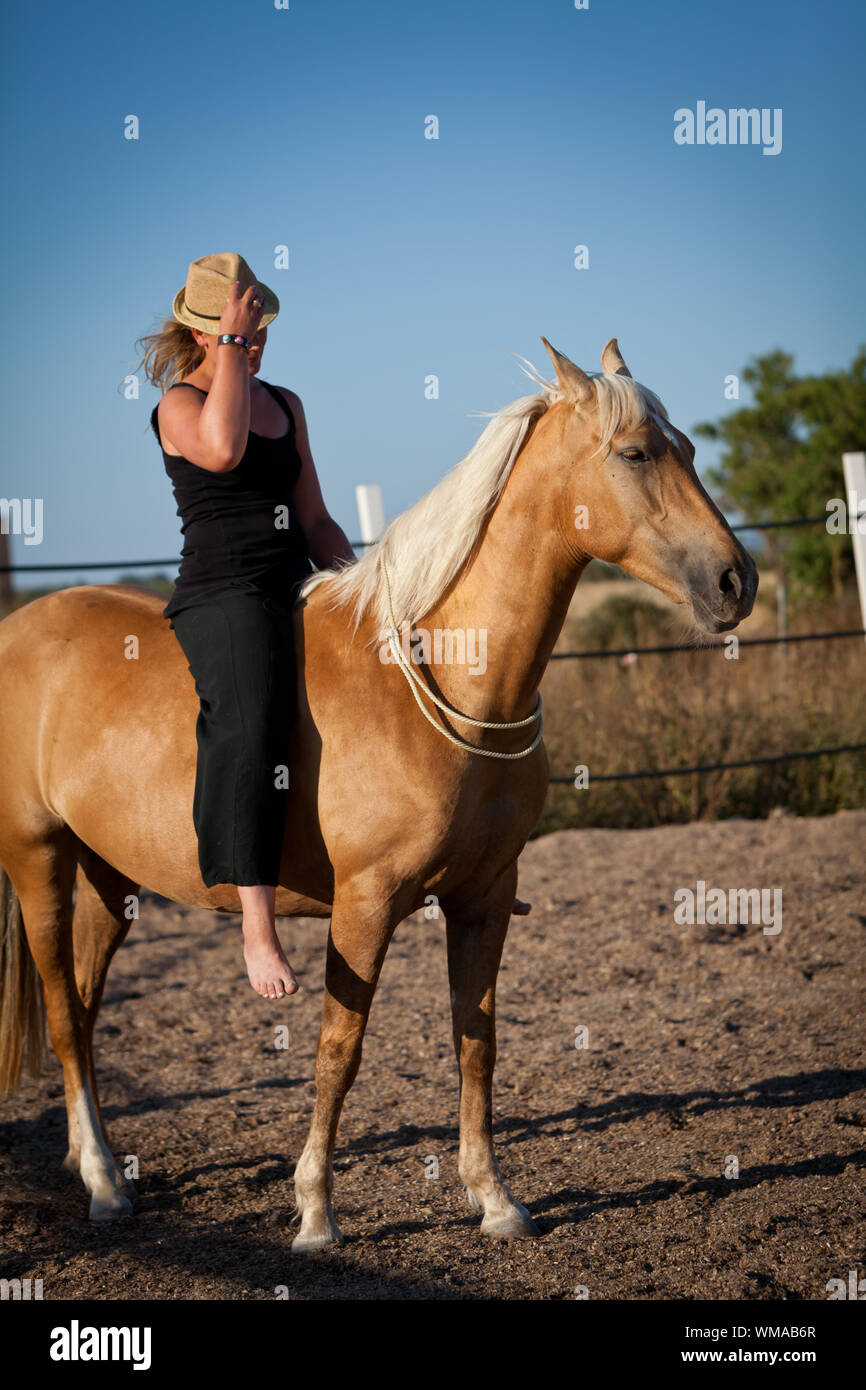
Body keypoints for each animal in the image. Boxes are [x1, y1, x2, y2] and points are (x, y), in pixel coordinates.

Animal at [0, 338, 757, 1250]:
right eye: (637, 453)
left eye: (689, 448)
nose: (736, 582)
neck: (444, 679)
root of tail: (19, 628)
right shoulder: (365, 905)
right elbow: (340, 1049)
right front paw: (316, 1214)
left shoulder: (484, 898)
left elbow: (477, 1041)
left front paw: (494, 1199)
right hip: (38, 864)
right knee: (64, 1017)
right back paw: (108, 1186)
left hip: (108, 883)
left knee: (80, 1008)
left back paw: (92, 1162)